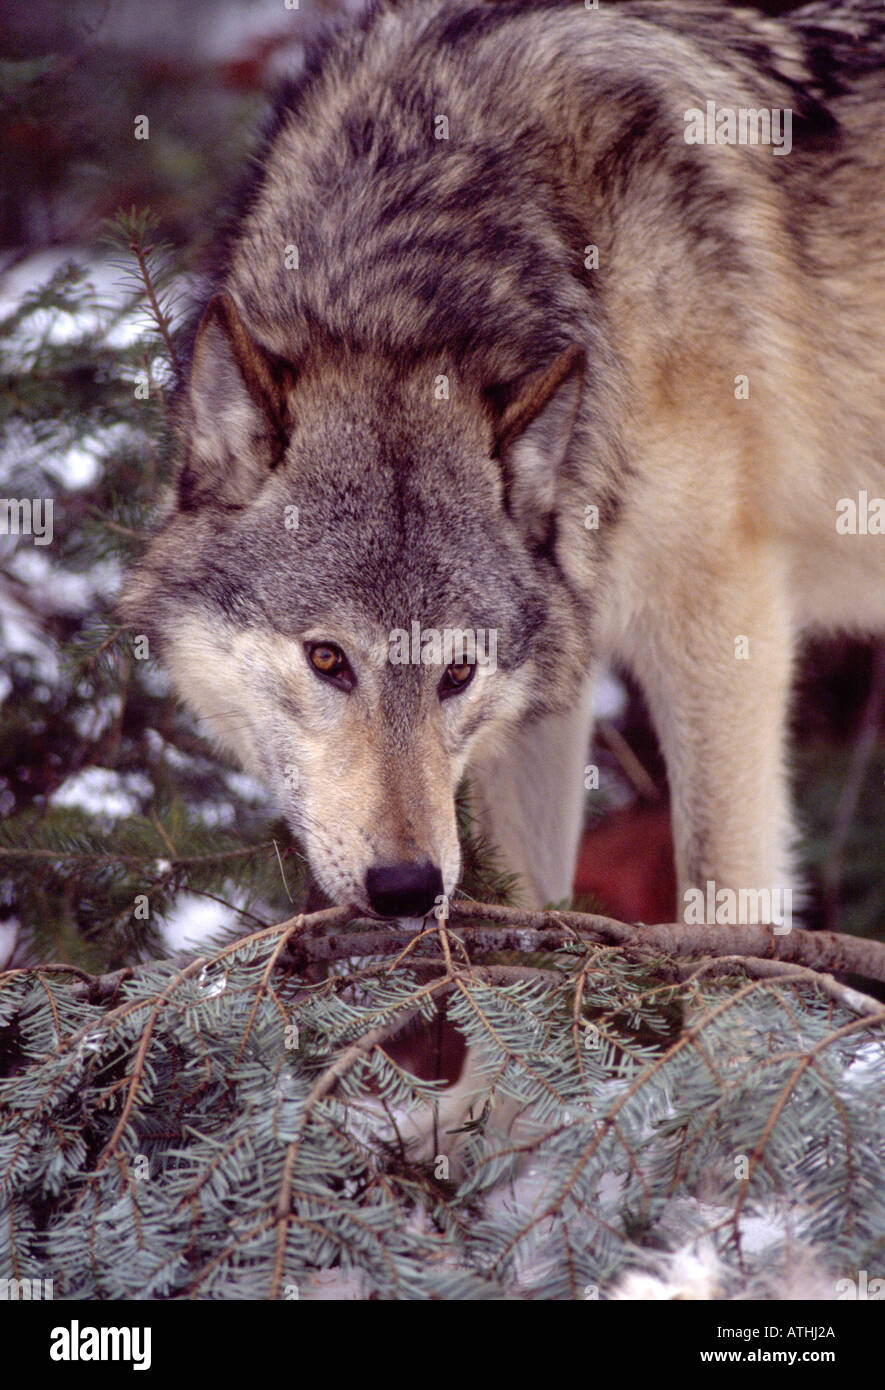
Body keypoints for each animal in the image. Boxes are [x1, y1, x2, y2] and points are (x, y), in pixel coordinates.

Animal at [121, 0, 885, 942]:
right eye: (328, 659)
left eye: (456, 673)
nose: (406, 887)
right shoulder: (551, 685)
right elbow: (529, 907)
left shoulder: (720, 610)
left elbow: (721, 897)